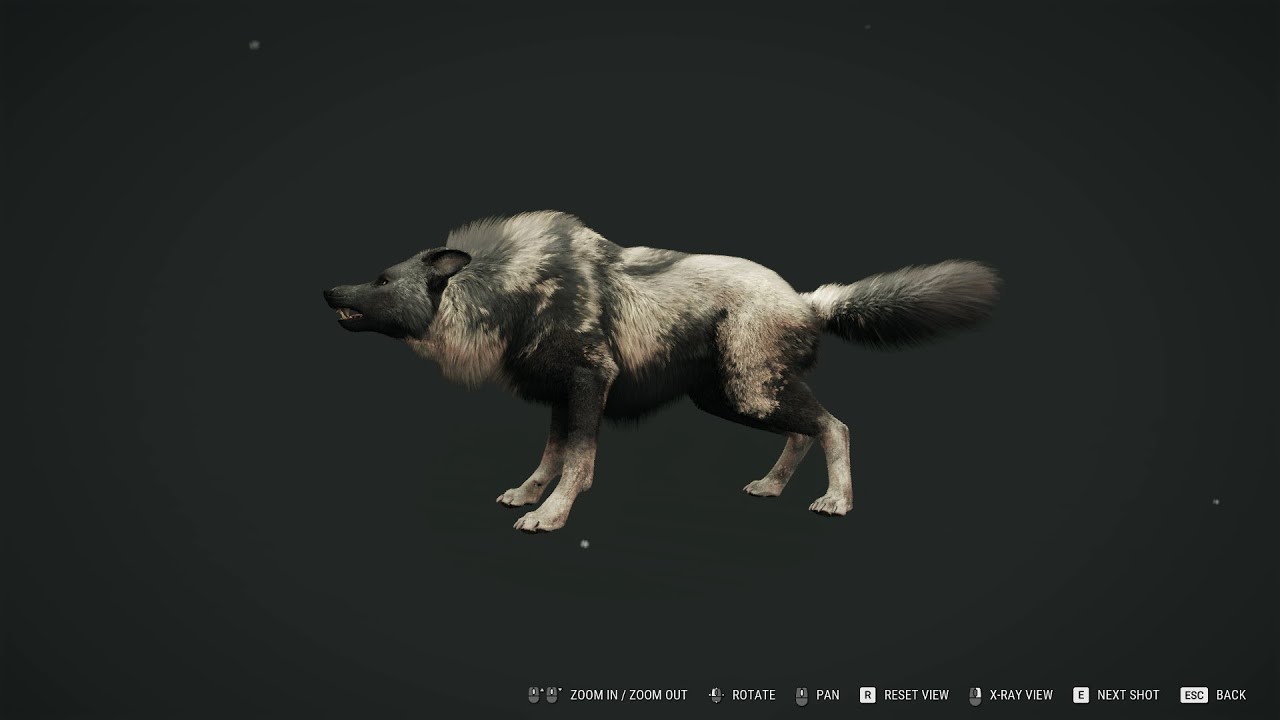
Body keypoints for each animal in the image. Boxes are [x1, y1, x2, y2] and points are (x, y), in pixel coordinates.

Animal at [323, 211, 999, 533]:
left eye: (381, 280)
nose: (329, 290)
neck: (510, 293)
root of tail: (805, 300)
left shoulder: (589, 384)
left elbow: (578, 463)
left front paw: (551, 515)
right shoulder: (561, 396)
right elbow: (550, 456)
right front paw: (530, 494)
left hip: (749, 393)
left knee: (835, 426)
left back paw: (836, 501)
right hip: (734, 395)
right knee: (805, 429)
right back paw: (773, 487)